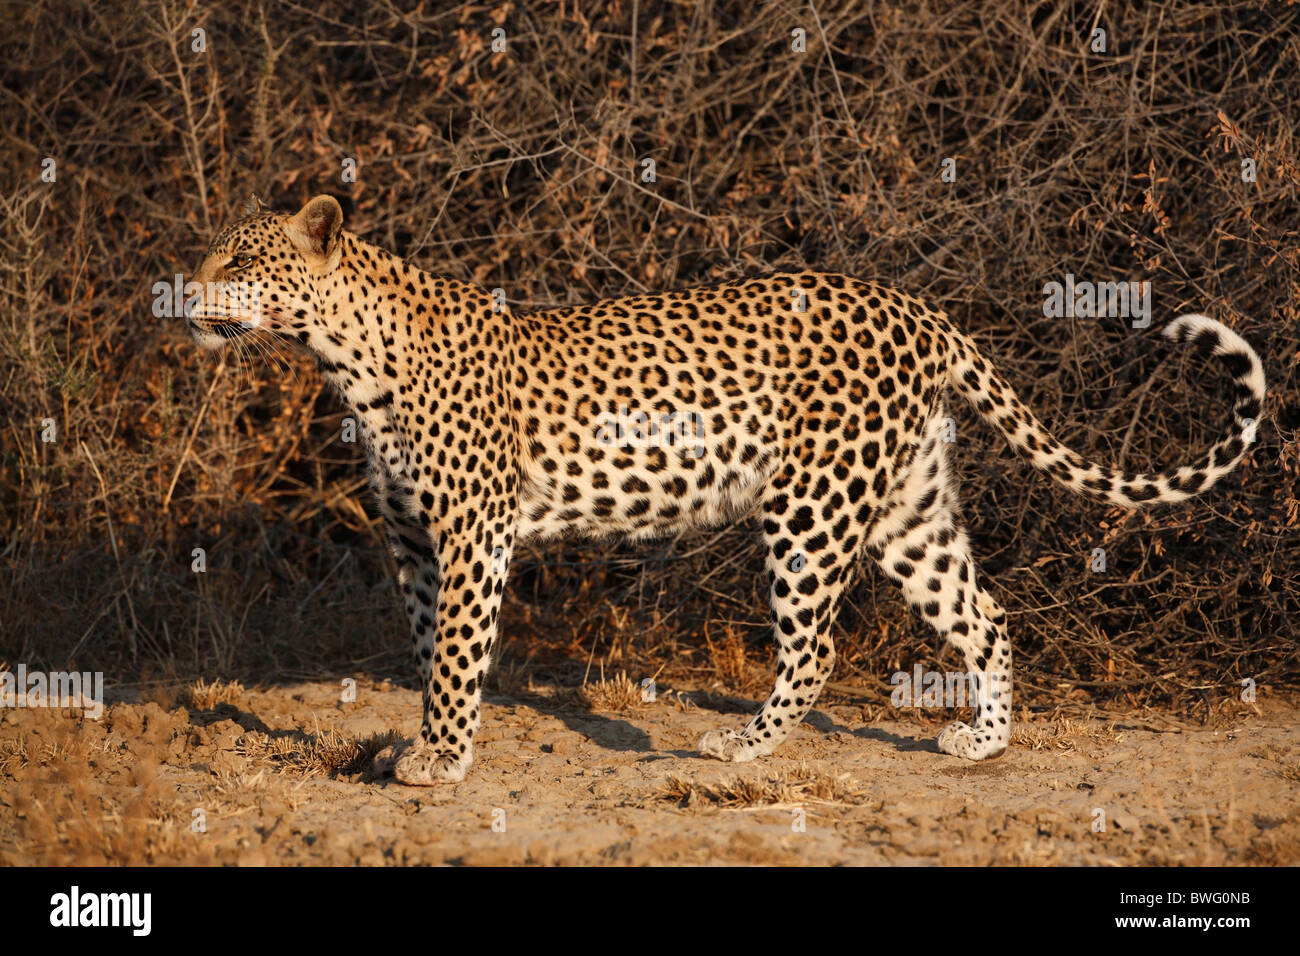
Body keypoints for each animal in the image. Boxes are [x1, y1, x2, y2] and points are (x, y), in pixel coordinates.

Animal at [185, 193, 1266, 785]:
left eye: (238, 257)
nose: (184, 294)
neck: (343, 355)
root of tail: (918, 307)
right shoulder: (412, 542)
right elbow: (425, 650)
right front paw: (425, 745)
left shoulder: (472, 533)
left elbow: (454, 657)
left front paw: (440, 761)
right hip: (906, 510)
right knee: (985, 615)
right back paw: (984, 745)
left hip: (812, 508)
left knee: (818, 644)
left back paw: (743, 747)